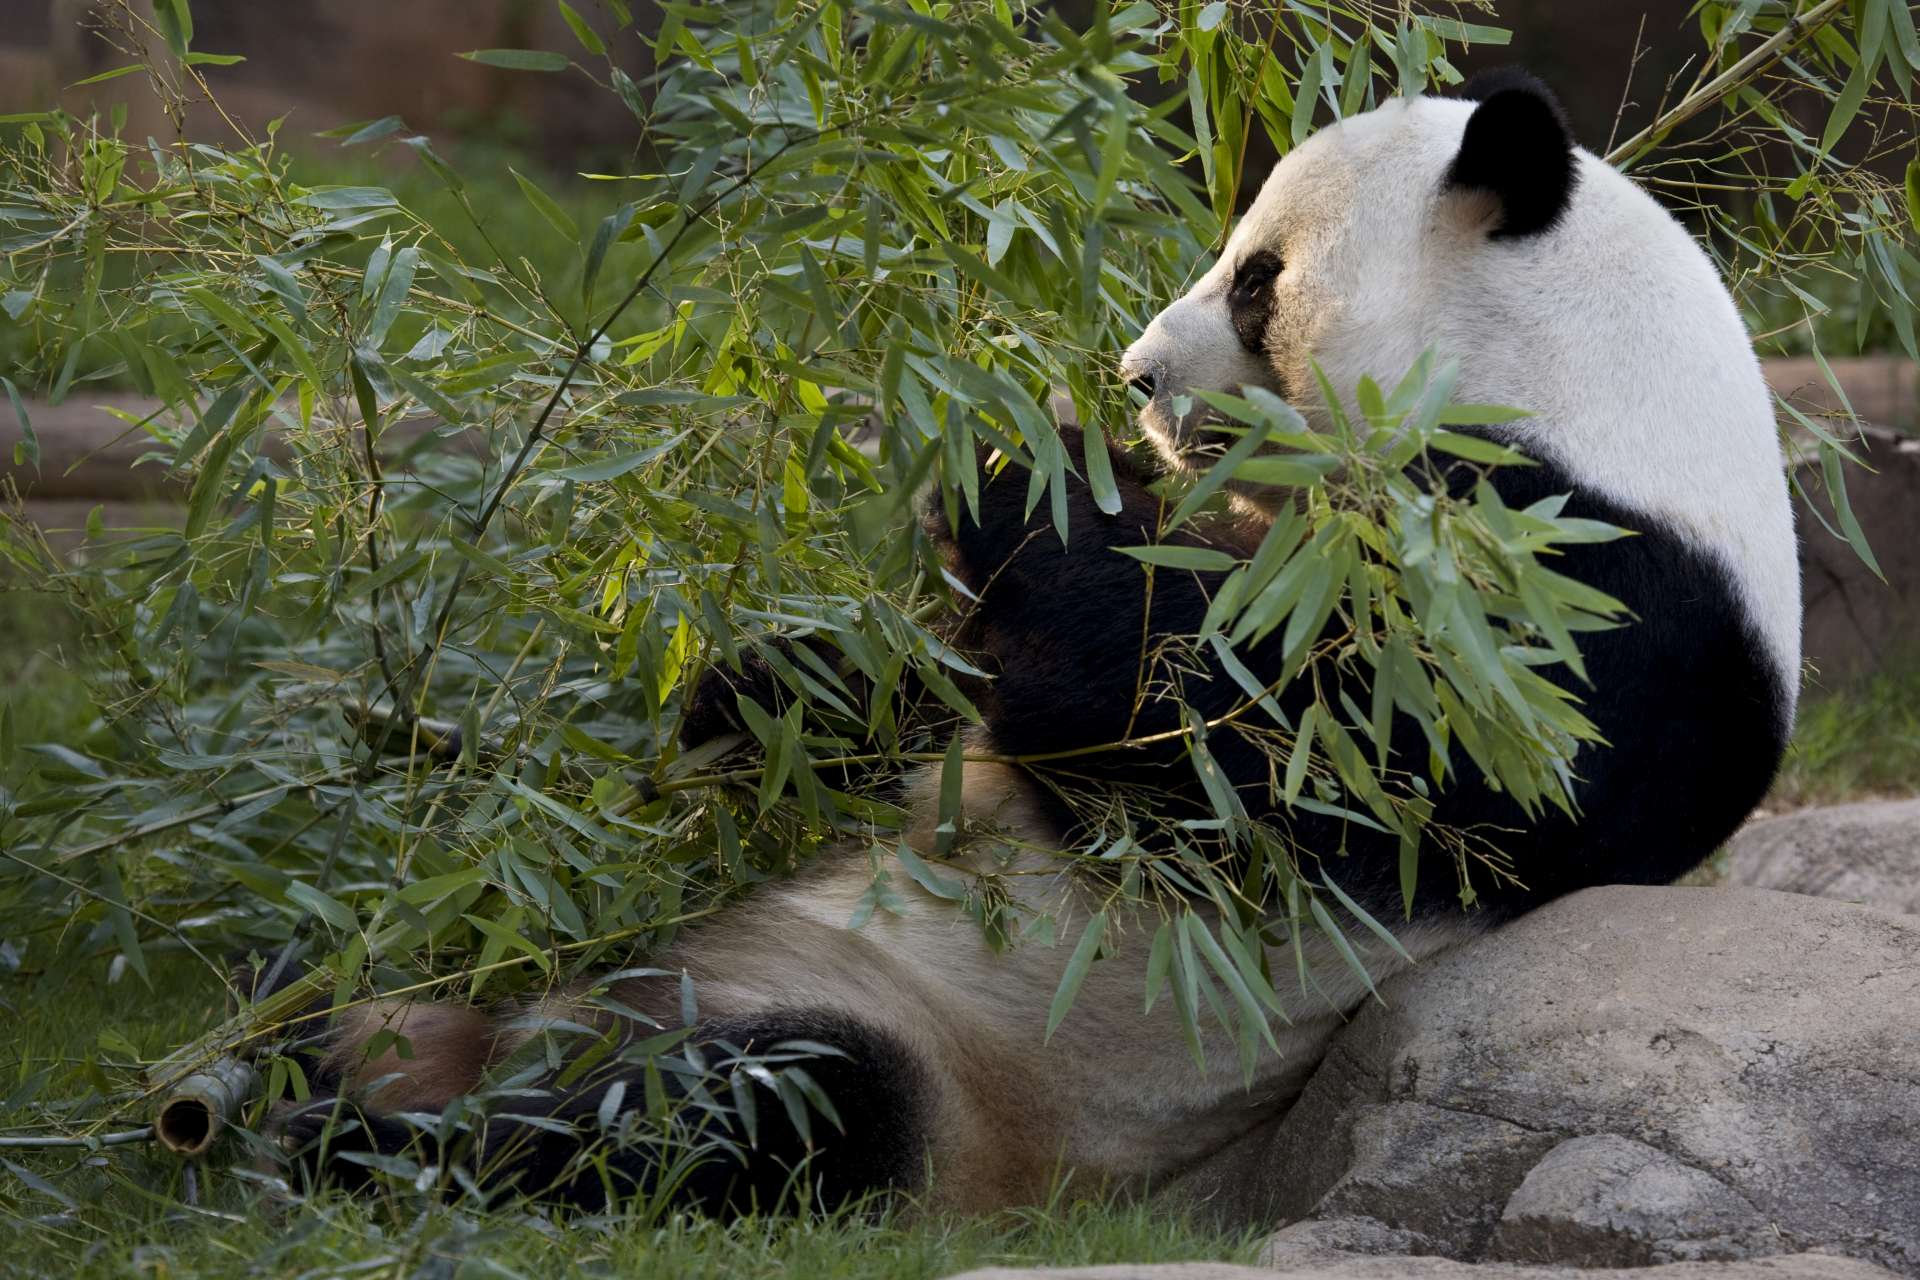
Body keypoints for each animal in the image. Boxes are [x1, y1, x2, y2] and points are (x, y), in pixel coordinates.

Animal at [271, 71, 1798, 1221]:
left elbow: (1247, 757)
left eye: (1255, 281)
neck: (1590, 392)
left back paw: (342, 1133)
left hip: (947, 1060)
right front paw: (775, 675)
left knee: (773, 1104)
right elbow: (912, 698)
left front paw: (1028, 457)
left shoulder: (1585, 629)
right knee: (464, 842)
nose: (1136, 374)